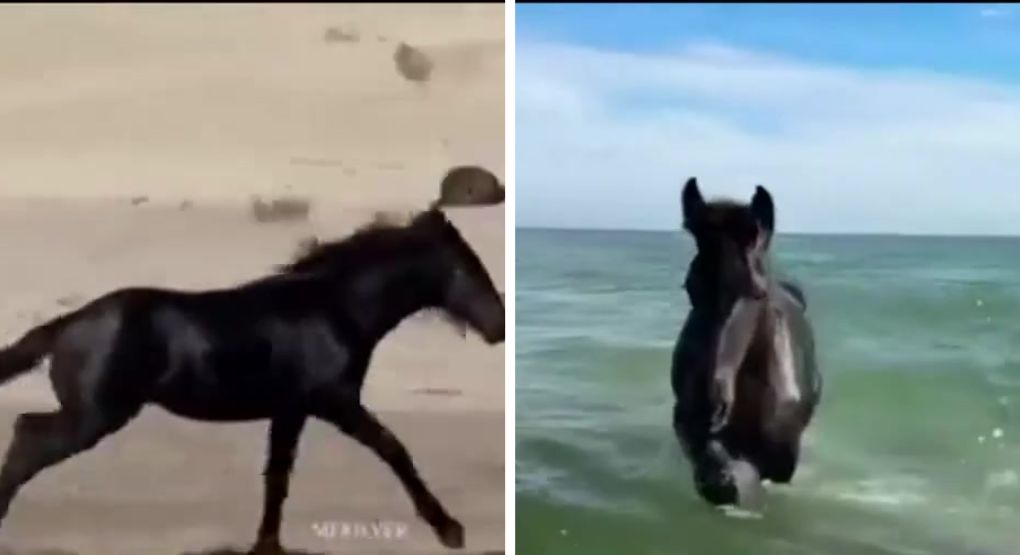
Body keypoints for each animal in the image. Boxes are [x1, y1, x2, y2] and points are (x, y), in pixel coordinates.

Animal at [0, 207, 504, 554]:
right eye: (465, 267)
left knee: (26, 432)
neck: (333, 309)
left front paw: (266, 545)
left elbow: (277, 477)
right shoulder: (335, 404)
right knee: (28, 436)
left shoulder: (290, 410)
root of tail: (67, 324)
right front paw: (450, 529)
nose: (498, 326)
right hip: (95, 416)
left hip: (92, 414)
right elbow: (393, 449)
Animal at [670, 177, 821, 507]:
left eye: (758, 294)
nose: (708, 405)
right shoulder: (691, 432)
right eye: (690, 286)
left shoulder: (783, 459)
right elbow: (715, 465)